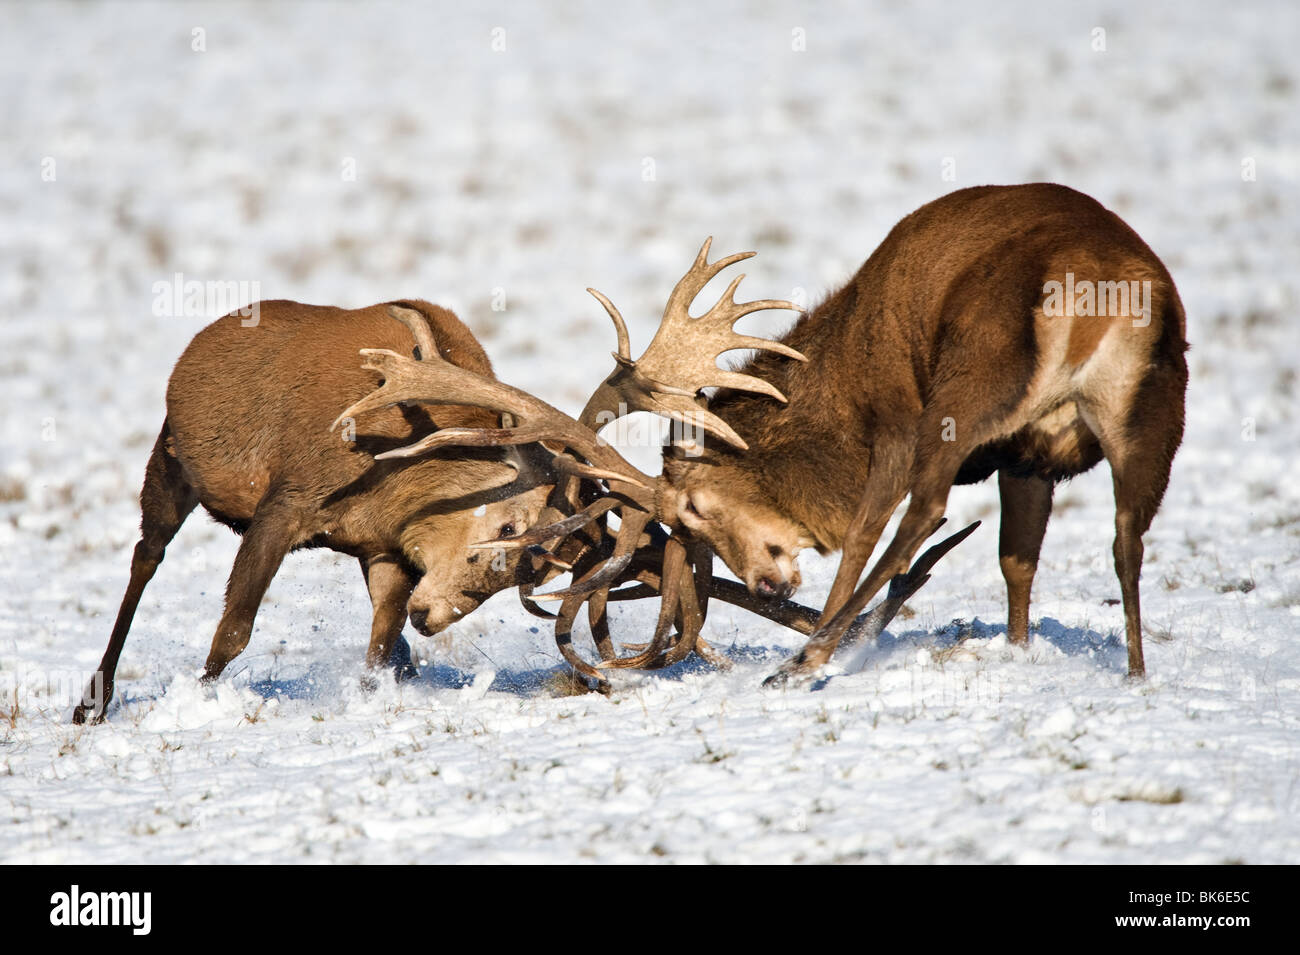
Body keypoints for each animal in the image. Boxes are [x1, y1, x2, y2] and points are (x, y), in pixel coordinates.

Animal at [72, 300, 553, 724]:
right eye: (507, 526)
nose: (432, 618)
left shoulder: (385, 547)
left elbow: (382, 643)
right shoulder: (285, 502)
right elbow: (234, 630)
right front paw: (193, 702)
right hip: (170, 457)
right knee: (146, 555)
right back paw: (92, 702)